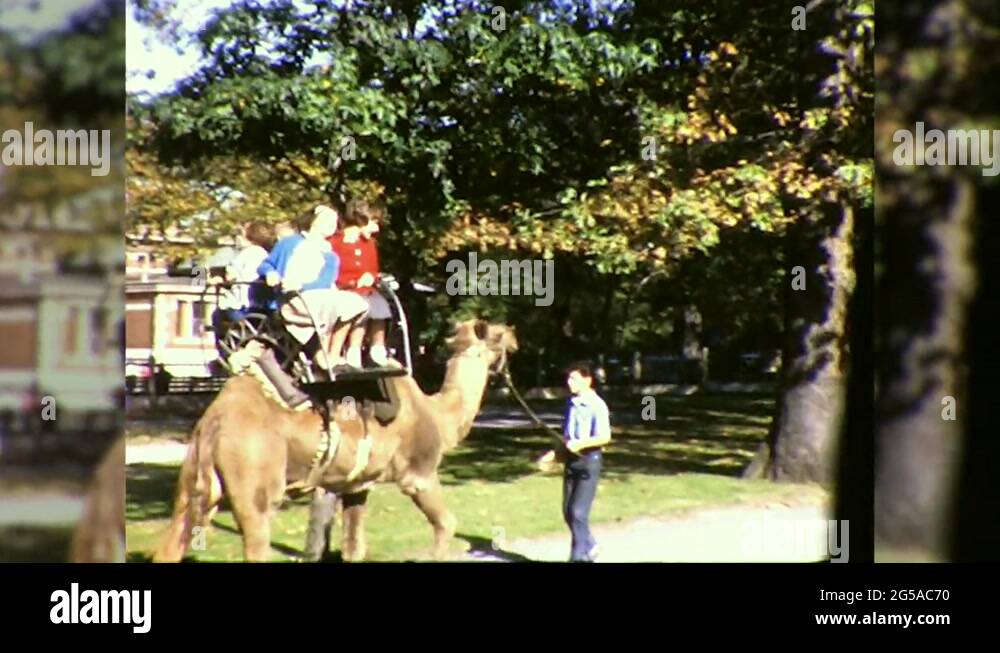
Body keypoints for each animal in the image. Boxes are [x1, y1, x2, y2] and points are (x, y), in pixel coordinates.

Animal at [153, 318, 517, 562]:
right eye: (498, 336)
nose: (515, 338)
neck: (438, 413)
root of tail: (213, 423)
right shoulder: (419, 474)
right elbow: (446, 526)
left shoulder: (356, 484)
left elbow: (354, 547)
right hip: (255, 482)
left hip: (193, 480)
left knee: (172, 542)